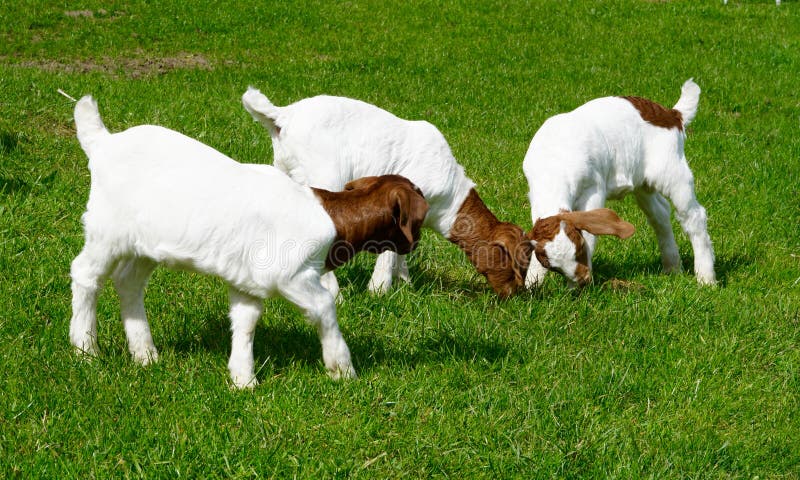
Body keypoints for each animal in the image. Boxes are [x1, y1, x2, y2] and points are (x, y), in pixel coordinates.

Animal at [69, 96, 428, 388]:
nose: (414, 246)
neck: (333, 215)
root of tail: (103, 143)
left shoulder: (248, 281)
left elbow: (245, 322)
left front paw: (243, 379)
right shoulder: (291, 274)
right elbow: (324, 306)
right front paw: (342, 368)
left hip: (145, 244)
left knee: (128, 282)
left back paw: (145, 354)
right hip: (106, 229)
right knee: (85, 274)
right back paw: (85, 348)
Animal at [242, 89, 532, 298]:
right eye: (515, 263)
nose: (514, 294)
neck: (450, 198)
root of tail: (283, 117)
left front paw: (405, 283)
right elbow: (390, 251)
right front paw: (379, 290)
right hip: (325, 175)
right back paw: (334, 294)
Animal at [523, 79, 715, 288]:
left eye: (580, 247)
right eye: (552, 266)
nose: (582, 279)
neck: (554, 163)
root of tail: (671, 114)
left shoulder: (594, 189)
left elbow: (591, 230)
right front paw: (530, 284)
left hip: (671, 169)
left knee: (693, 216)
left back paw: (706, 277)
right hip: (642, 182)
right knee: (660, 213)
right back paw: (672, 267)